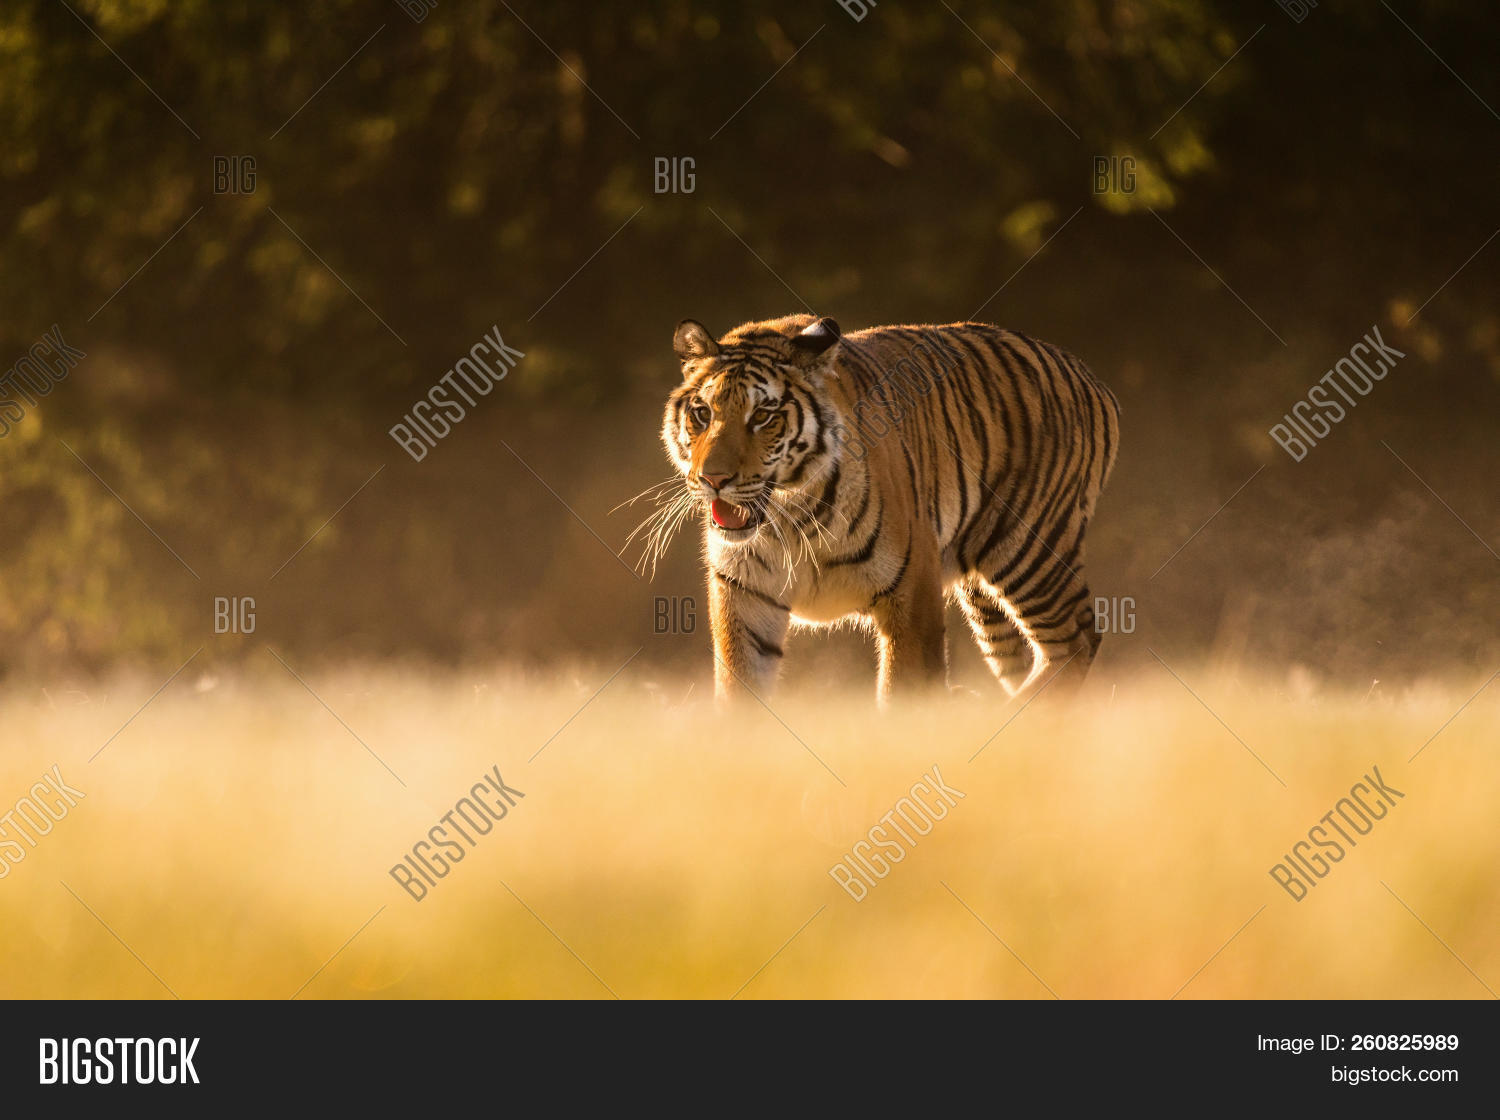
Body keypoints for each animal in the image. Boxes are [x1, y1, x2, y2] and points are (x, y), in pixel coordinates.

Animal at [650, 312, 1120, 705]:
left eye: (763, 415)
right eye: (702, 412)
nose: (714, 479)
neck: (790, 516)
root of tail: (1087, 374)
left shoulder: (911, 596)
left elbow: (901, 699)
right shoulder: (744, 596)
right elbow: (740, 693)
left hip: (1027, 546)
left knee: (1076, 638)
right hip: (985, 593)